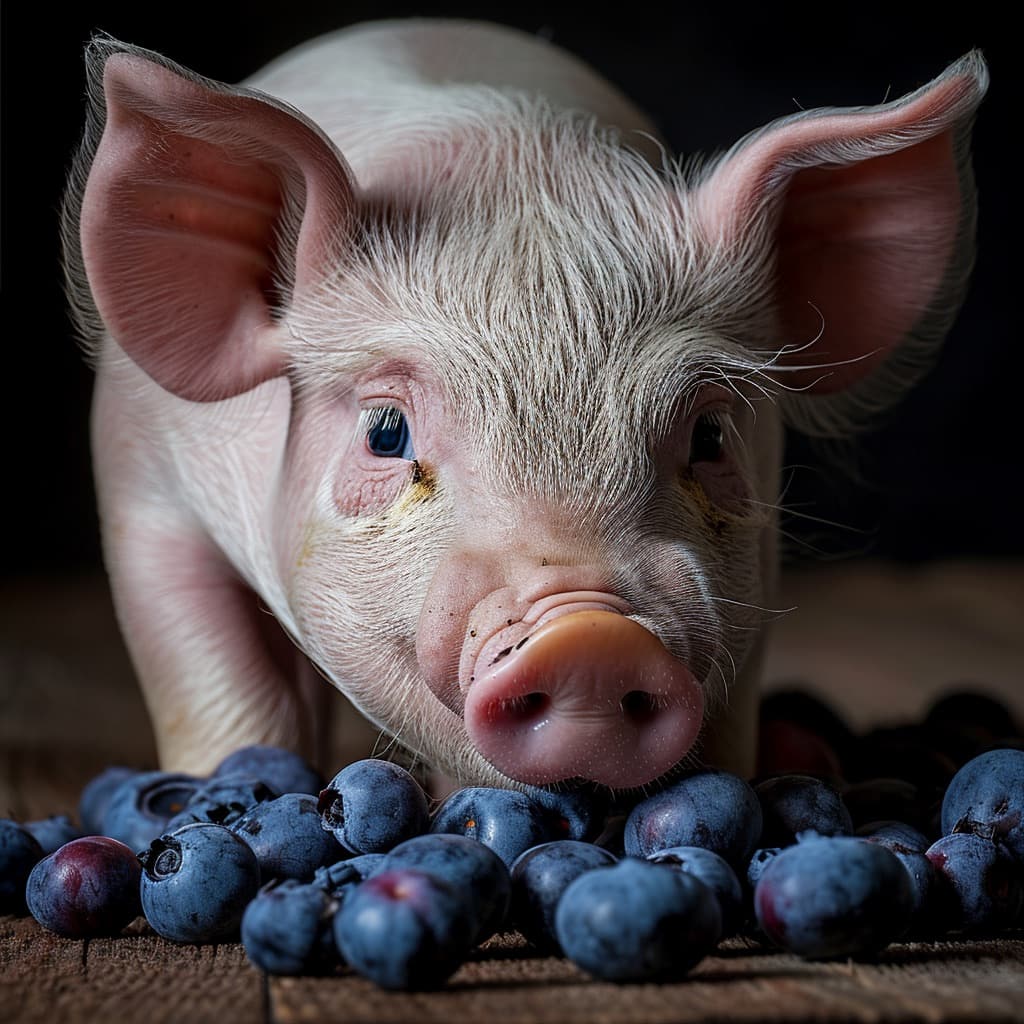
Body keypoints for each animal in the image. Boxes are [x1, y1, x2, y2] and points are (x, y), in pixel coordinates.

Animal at [63, 20, 987, 791]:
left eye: (711, 434)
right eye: (386, 433)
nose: (592, 641)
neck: (506, 161)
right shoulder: (143, 492)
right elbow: (226, 686)